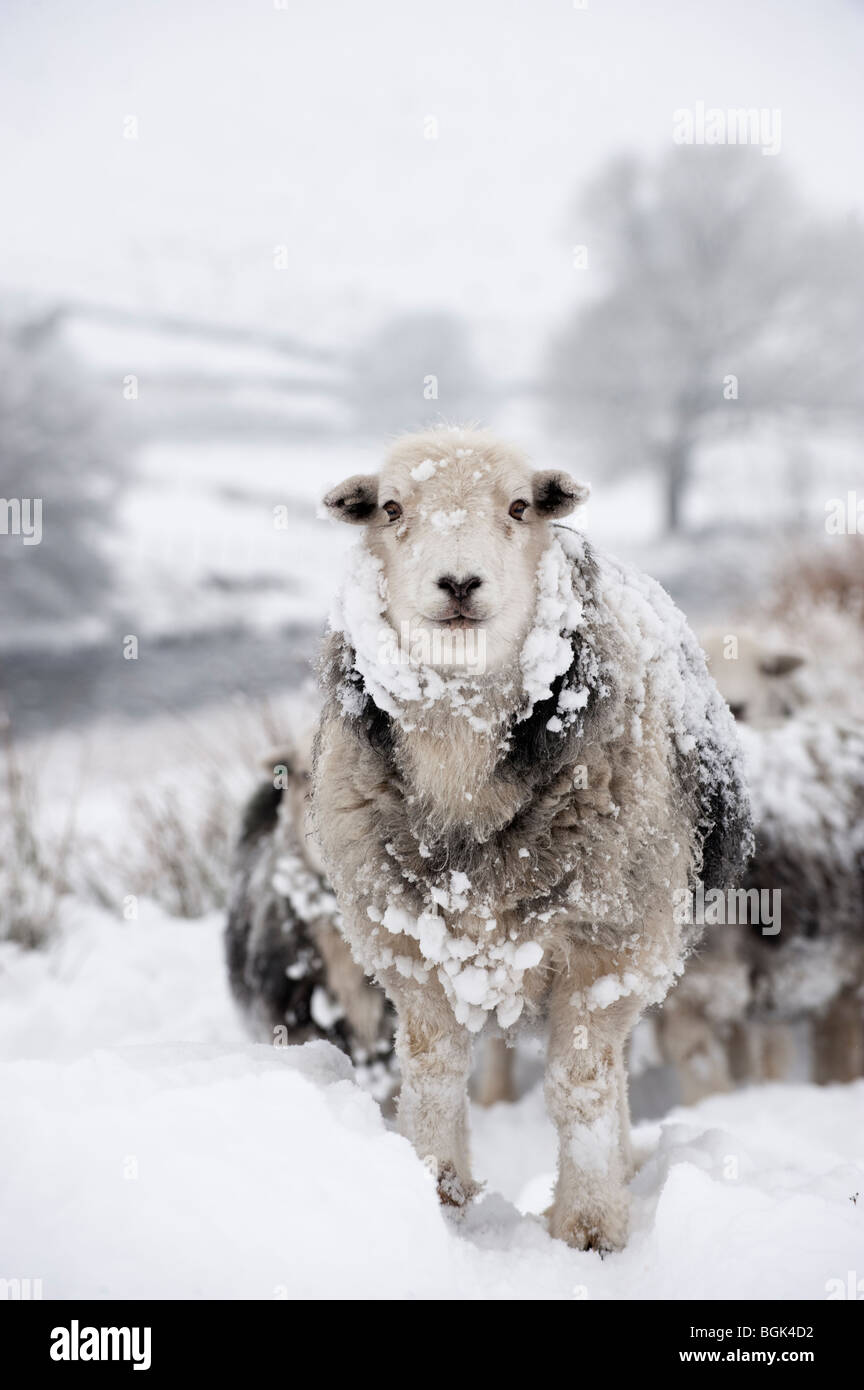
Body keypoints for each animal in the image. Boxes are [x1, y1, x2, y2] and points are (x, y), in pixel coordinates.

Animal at [311, 425, 751, 1250]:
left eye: (519, 506)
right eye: (392, 508)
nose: (458, 583)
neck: (462, 769)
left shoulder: (607, 951)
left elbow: (580, 1088)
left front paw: (589, 1226)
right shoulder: (406, 951)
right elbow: (432, 1076)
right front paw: (436, 1196)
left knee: (606, 1075)